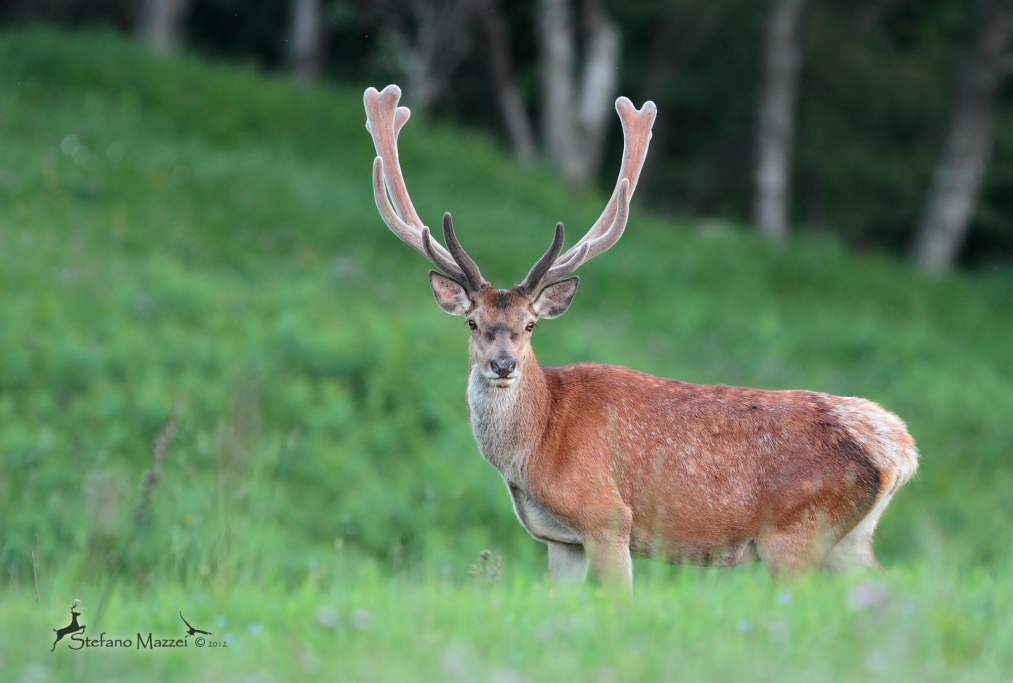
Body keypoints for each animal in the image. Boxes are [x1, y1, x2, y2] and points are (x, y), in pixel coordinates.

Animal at [363, 84, 919, 590]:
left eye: (531, 324)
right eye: (472, 322)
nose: (503, 364)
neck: (535, 450)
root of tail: (897, 445)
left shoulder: (607, 518)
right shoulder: (561, 540)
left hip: (795, 533)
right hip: (849, 540)